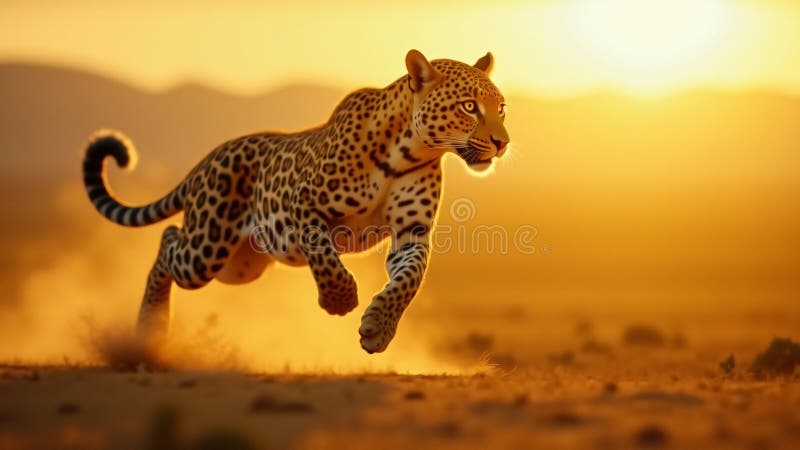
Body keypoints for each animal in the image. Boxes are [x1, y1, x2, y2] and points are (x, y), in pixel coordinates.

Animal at [82, 50, 510, 354]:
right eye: (469, 106)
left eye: (501, 107)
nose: (502, 142)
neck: (409, 151)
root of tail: (203, 162)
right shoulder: (303, 206)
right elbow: (323, 254)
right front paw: (339, 300)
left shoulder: (412, 231)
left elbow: (410, 277)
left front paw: (378, 328)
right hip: (207, 246)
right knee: (168, 242)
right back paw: (150, 328)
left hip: (239, 266)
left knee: (173, 238)